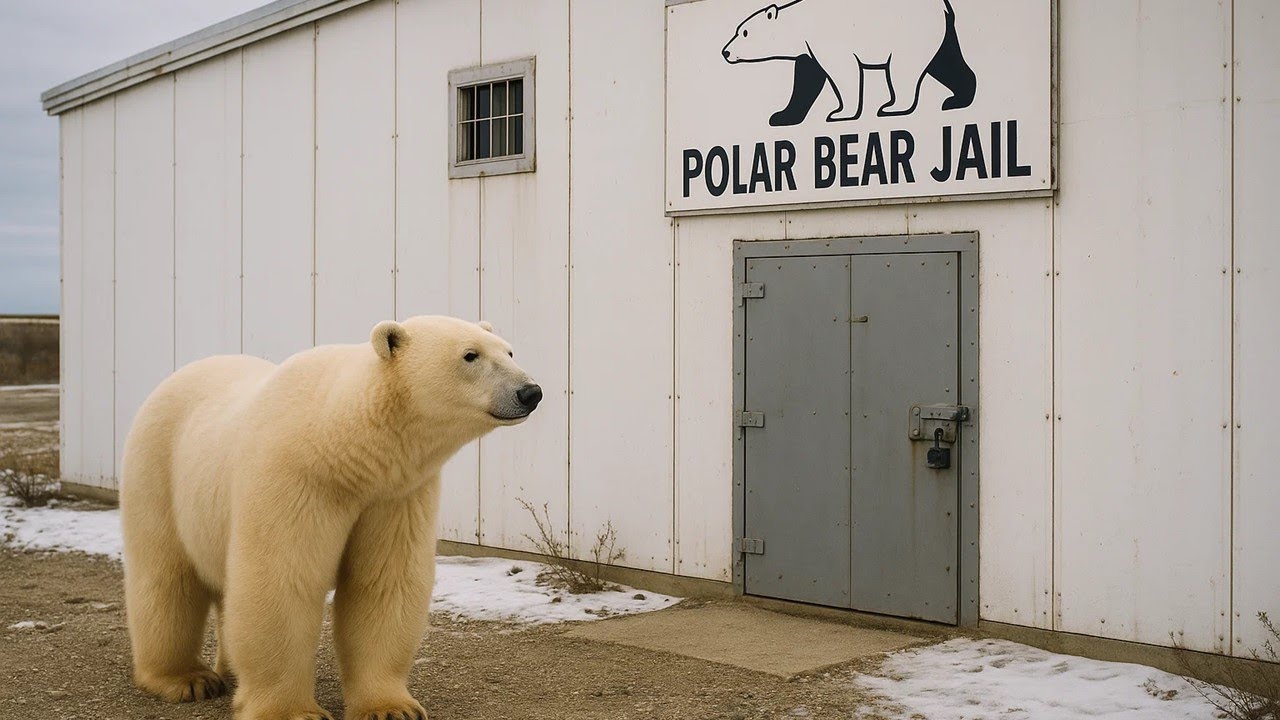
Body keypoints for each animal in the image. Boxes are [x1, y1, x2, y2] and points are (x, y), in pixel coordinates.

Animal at [119, 316, 541, 720]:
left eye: (509, 351)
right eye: (470, 355)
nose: (530, 392)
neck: (340, 442)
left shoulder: (394, 495)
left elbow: (382, 582)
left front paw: (392, 708)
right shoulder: (296, 479)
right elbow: (283, 581)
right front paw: (292, 712)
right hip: (158, 469)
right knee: (166, 577)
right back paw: (187, 679)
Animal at [721, 0, 977, 127]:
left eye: (744, 32)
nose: (725, 52)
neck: (802, 23)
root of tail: (943, 7)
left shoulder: (829, 40)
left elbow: (842, 72)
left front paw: (840, 113)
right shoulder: (809, 50)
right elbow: (806, 81)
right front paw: (781, 116)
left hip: (909, 33)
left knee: (905, 69)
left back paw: (892, 107)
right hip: (941, 33)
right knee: (946, 62)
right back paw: (958, 99)